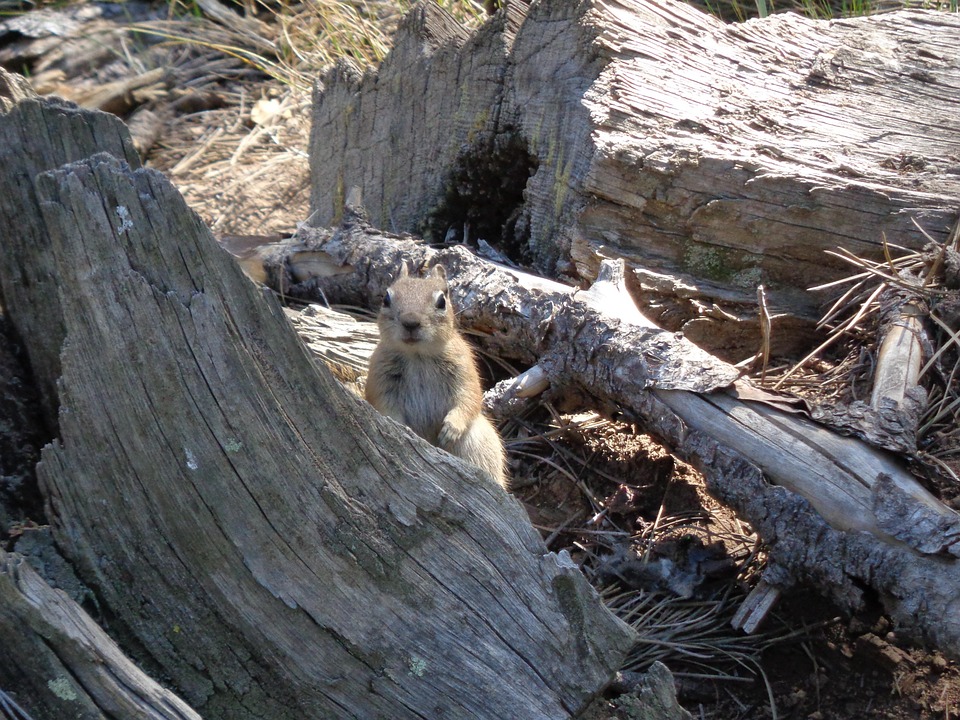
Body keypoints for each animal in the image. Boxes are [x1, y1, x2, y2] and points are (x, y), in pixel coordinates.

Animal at [365, 263, 508, 489]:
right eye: (386, 299)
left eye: (442, 301)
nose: (411, 322)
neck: (418, 355)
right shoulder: (380, 378)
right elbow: (383, 406)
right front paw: (402, 428)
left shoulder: (464, 370)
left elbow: (469, 398)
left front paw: (451, 428)